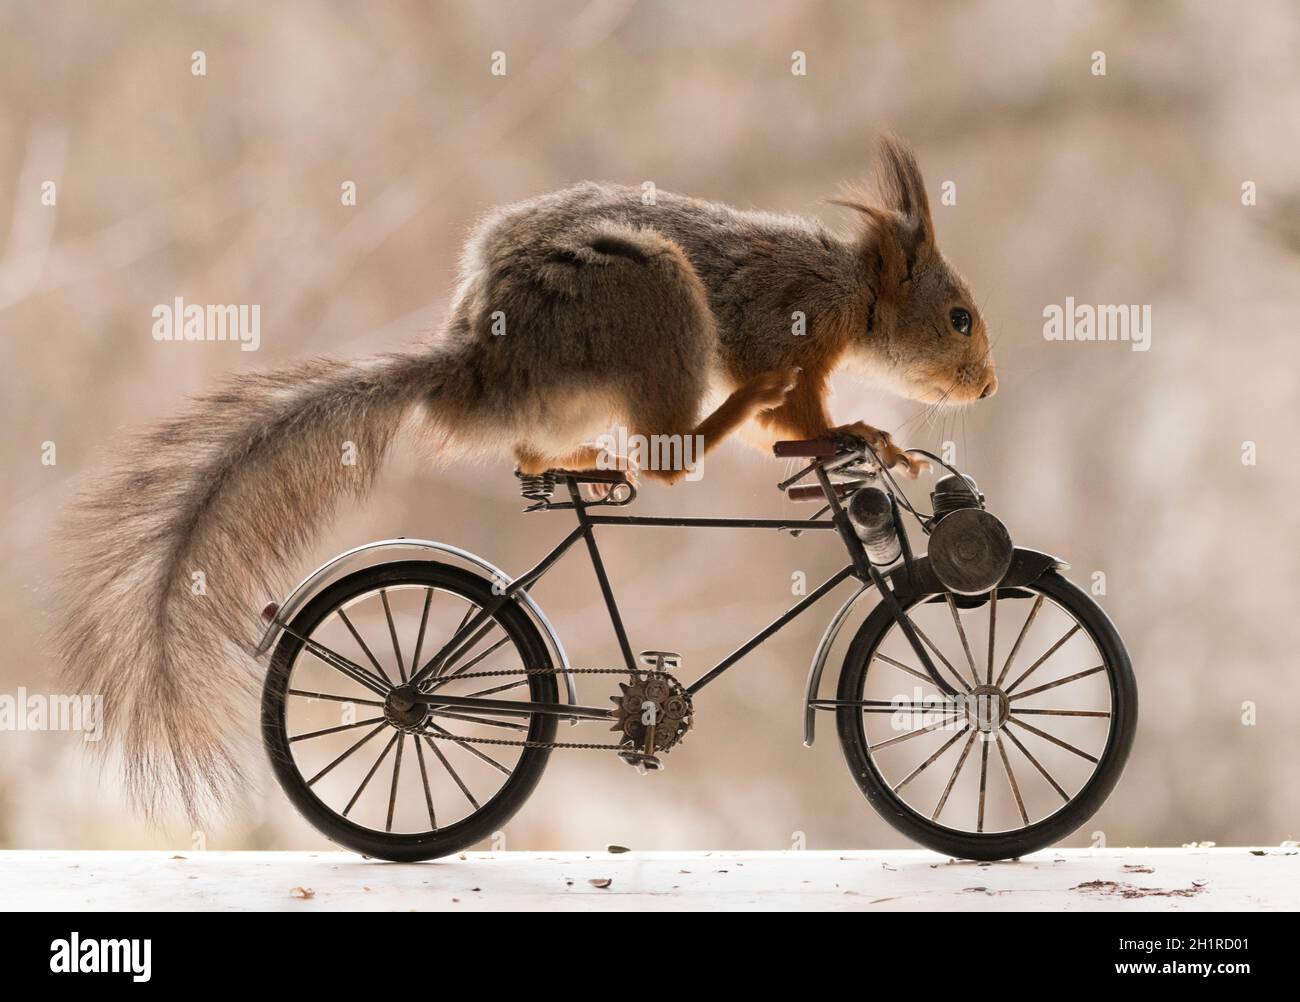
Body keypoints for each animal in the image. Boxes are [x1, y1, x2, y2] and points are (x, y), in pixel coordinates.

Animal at [55, 133, 996, 818]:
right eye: (959, 318)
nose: (987, 388)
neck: (852, 292)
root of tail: (478, 363)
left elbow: (801, 428)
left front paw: (873, 439)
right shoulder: (789, 328)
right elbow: (790, 417)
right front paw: (853, 433)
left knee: (545, 456)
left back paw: (580, 465)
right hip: (652, 299)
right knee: (669, 458)